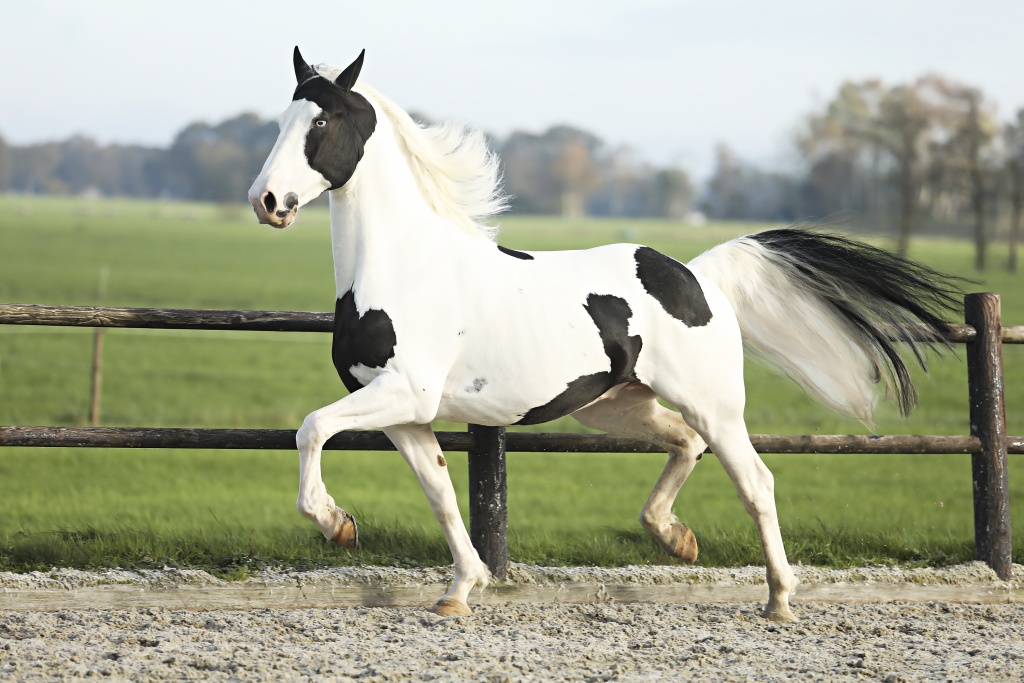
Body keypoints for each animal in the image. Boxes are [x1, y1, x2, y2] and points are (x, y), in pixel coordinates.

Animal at [247, 48, 960, 622]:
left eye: (321, 122)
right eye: (280, 122)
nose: (267, 201)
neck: (402, 266)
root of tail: (698, 277)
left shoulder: (405, 393)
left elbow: (309, 428)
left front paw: (335, 523)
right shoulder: (404, 414)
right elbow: (442, 494)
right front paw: (457, 591)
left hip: (715, 404)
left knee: (755, 482)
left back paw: (780, 601)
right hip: (615, 406)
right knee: (686, 444)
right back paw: (673, 536)